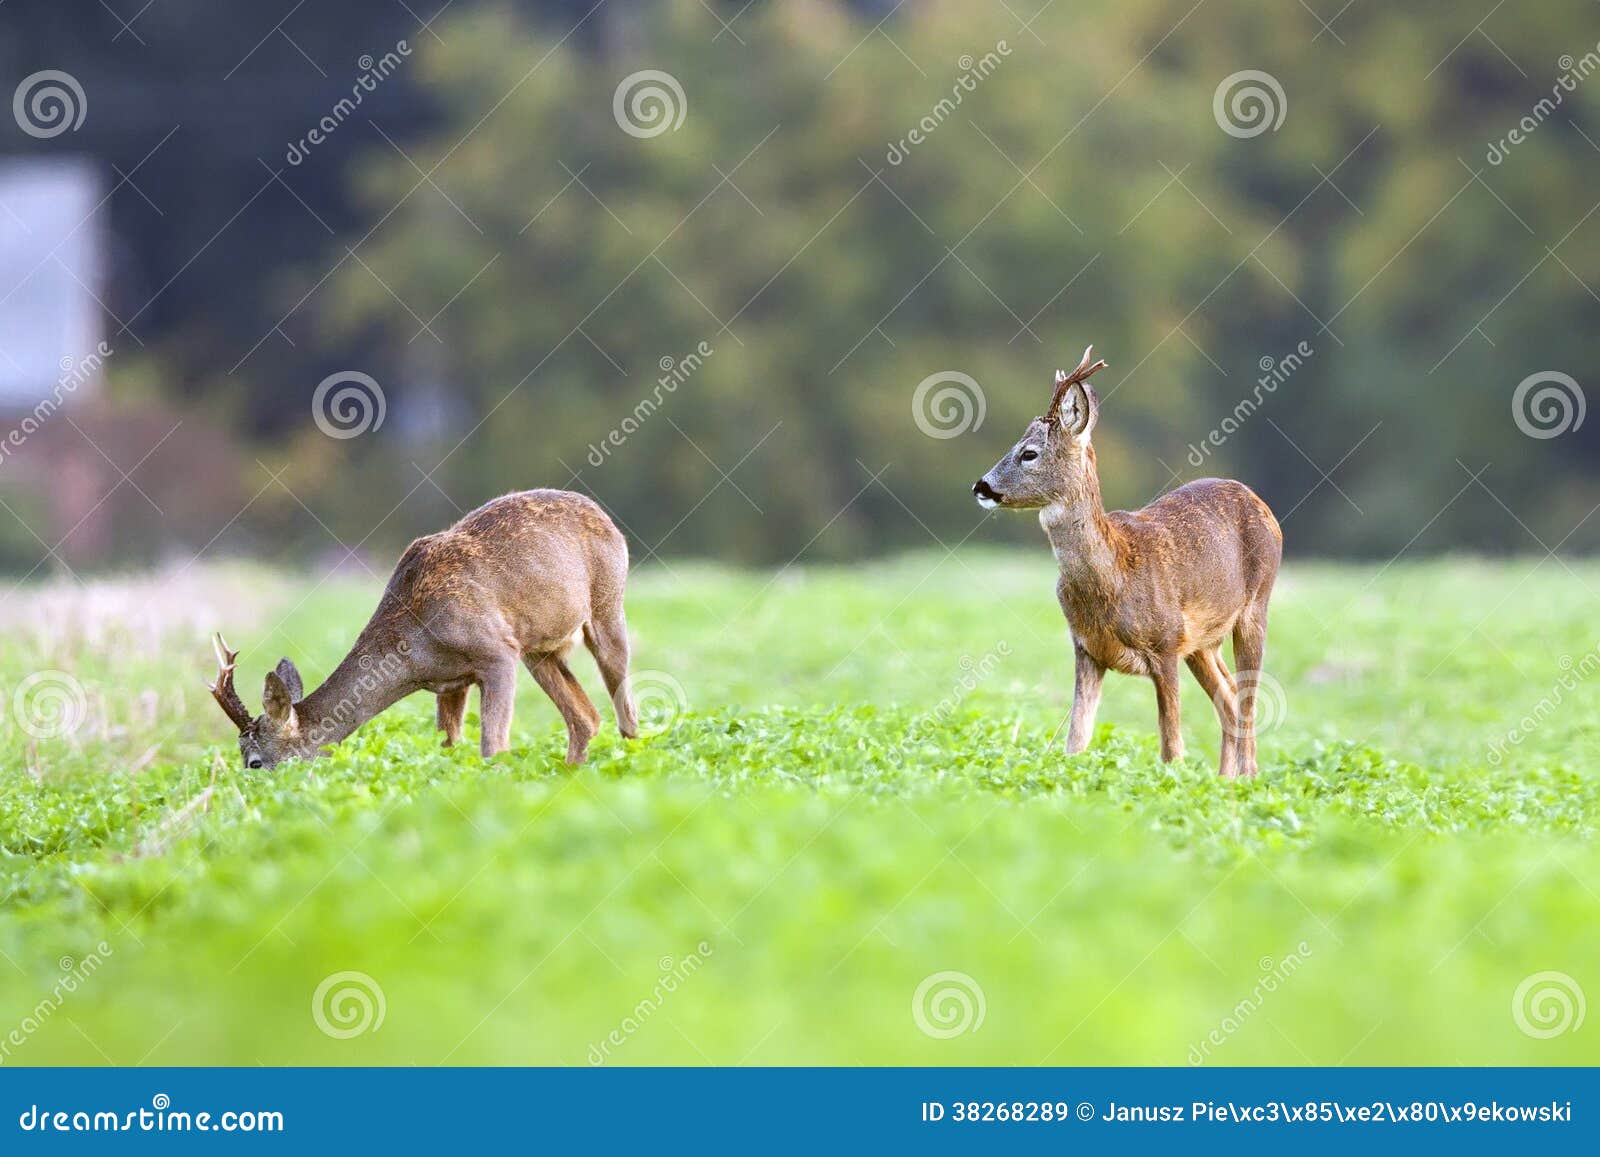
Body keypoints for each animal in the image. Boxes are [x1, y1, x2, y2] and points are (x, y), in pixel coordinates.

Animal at [207, 489, 639, 769]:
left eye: (253, 762)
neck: (413, 648)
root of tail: (605, 516)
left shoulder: (497, 653)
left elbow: (493, 746)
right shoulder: (450, 683)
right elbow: (449, 746)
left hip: (606, 607)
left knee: (627, 708)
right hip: (538, 649)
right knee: (585, 719)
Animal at [972, 347, 1282, 777]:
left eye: (1028, 453)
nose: (981, 486)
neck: (1113, 576)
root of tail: (1257, 499)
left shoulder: (1165, 645)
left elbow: (1171, 746)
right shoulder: (1086, 649)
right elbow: (1076, 739)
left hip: (1255, 606)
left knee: (1248, 700)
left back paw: (1247, 780)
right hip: (1203, 642)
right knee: (1229, 698)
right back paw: (1223, 780)